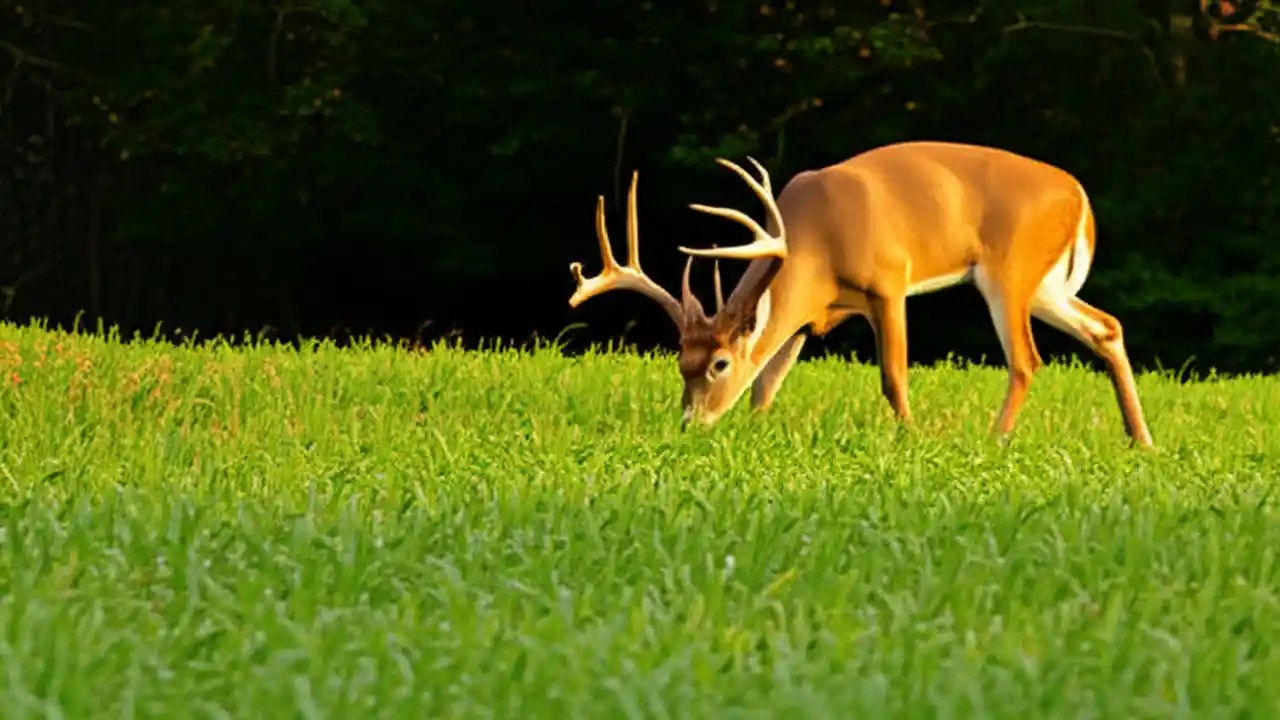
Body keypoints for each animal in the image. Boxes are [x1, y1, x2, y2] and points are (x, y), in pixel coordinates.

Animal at [568, 141, 1154, 446]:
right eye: (680, 363)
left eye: (718, 364)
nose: (690, 425)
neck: (815, 240)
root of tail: (1079, 195)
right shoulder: (807, 318)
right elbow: (767, 385)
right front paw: (758, 430)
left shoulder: (889, 281)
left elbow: (893, 376)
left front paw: (911, 437)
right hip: (1046, 286)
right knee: (1107, 327)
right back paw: (1139, 438)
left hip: (1009, 270)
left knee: (1027, 359)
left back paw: (995, 439)